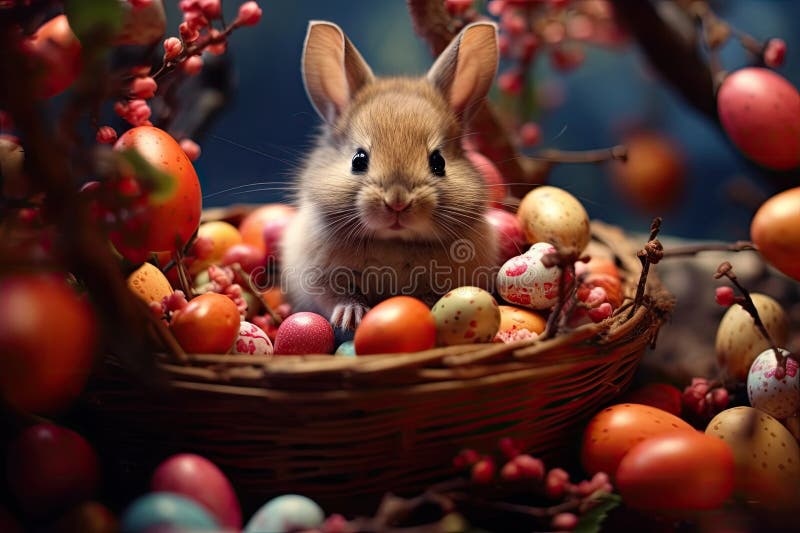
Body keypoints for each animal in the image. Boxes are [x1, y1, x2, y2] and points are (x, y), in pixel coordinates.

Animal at [281, 20, 500, 329]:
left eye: (438, 162)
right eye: (358, 160)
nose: (397, 202)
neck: (392, 241)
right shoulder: (322, 279)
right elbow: (339, 297)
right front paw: (349, 318)